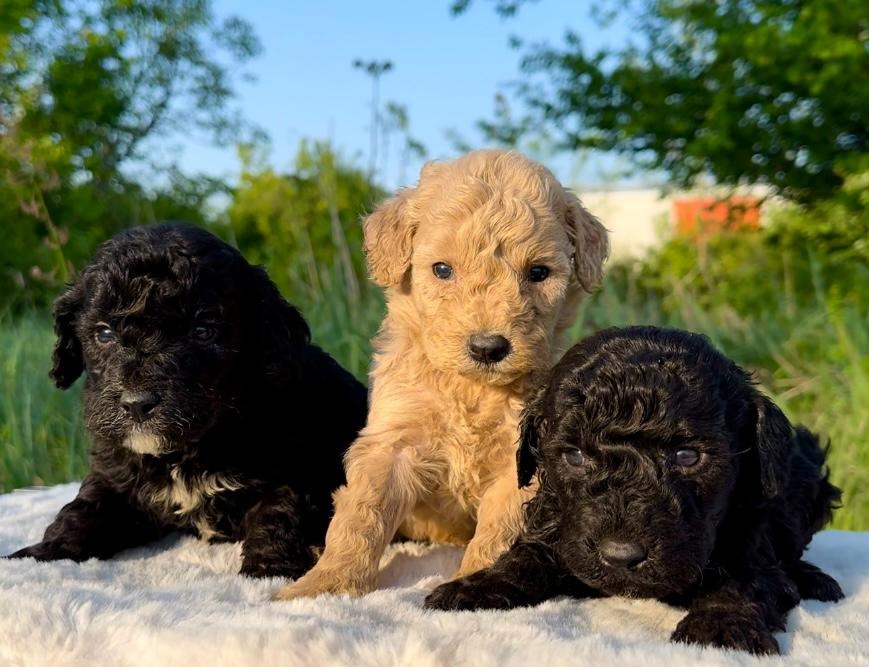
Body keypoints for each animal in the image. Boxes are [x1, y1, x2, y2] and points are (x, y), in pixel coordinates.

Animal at [6, 223, 366, 580]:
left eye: (202, 331)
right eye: (104, 333)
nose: (136, 404)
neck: (187, 451)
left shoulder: (294, 472)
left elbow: (279, 512)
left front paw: (269, 567)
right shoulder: (114, 473)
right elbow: (84, 509)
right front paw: (41, 553)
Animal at [424, 326, 844, 656]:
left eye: (687, 455)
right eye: (575, 455)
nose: (621, 556)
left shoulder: (751, 535)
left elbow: (746, 578)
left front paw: (723, 624)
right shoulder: (557, 523)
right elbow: (526, 555)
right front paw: (477, 587)